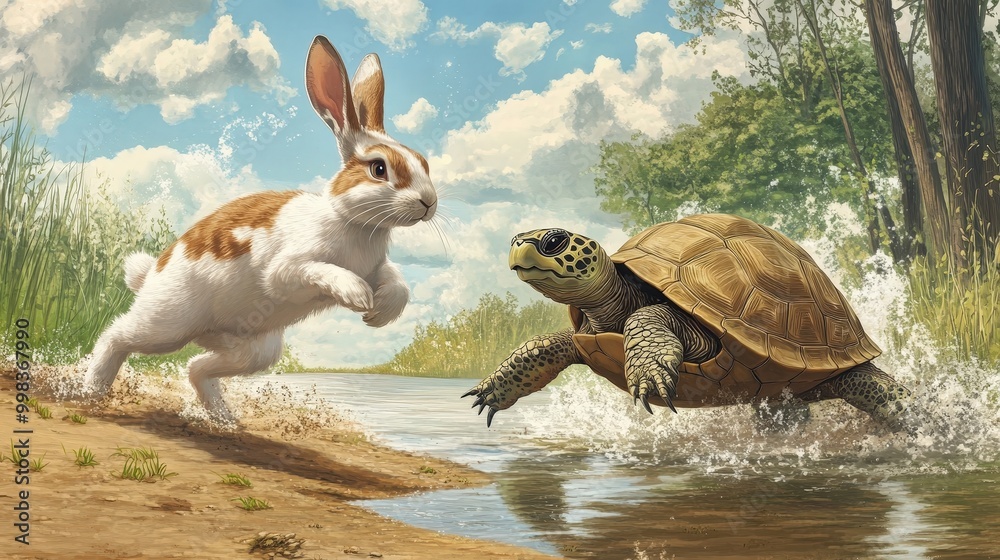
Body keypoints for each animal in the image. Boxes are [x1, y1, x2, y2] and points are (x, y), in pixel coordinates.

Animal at [82, 36, 437, 422]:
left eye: (424, 162)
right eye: (378, 168)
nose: (429, 202)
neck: (353, 223)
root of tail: (150, 274)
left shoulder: (378, 267)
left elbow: (398, 283)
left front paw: (378, 314)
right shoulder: (288, 269)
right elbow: (320, 270)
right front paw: (357, 296)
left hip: (257, 350)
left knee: (195, 367)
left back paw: (224, 420)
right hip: (166, 322)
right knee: (115, 337)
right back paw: (89, 392)